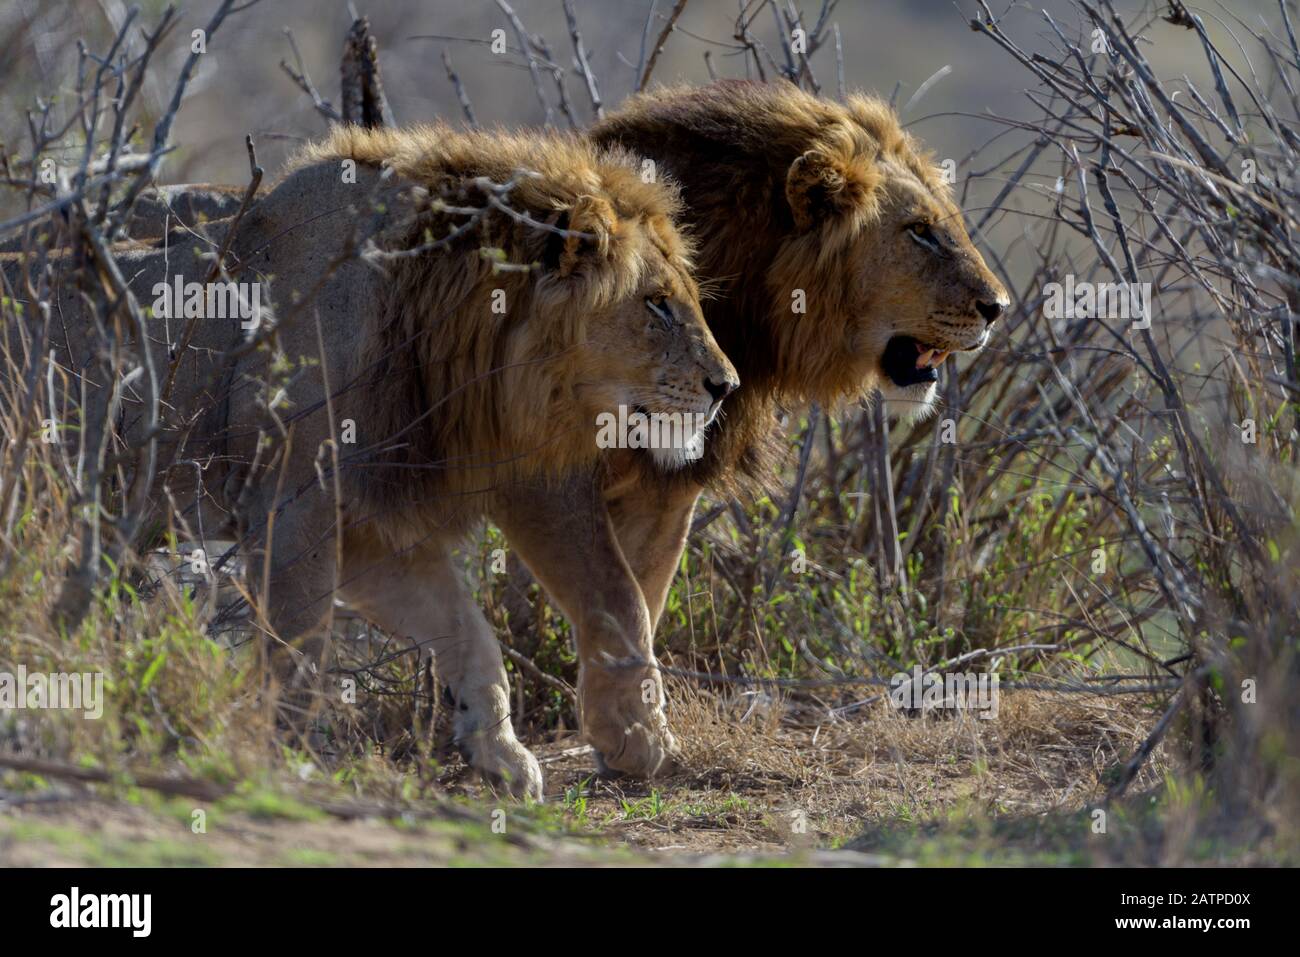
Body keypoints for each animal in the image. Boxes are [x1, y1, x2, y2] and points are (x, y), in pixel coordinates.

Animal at [1, 123, 737, 799]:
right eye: (657, 304)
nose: (726, 385)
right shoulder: (292, 500)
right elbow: (297, 646)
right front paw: (282, 758)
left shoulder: (369, 533)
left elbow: (470, 631)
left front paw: (503, 754)